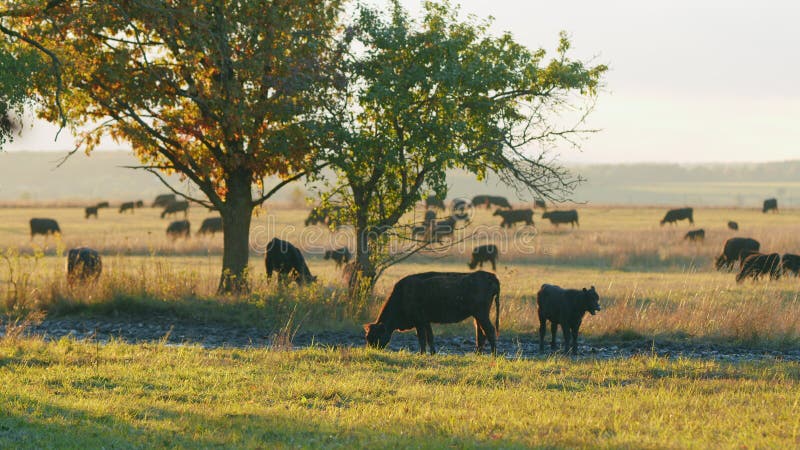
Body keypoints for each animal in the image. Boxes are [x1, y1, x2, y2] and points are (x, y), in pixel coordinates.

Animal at [364, 271, 501, 355]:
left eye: (376, 336)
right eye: (367, 337)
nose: (371, 349)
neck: (402, 294)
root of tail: (491, 276)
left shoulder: (419, 321)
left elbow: (422, 338)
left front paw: (422, 353)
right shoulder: (426, 321)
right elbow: (430, 337)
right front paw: (432, 353)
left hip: (481, 314)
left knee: (489, 330)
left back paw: (493, 355)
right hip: (477, 316)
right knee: (481, 333)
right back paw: (477, 354)